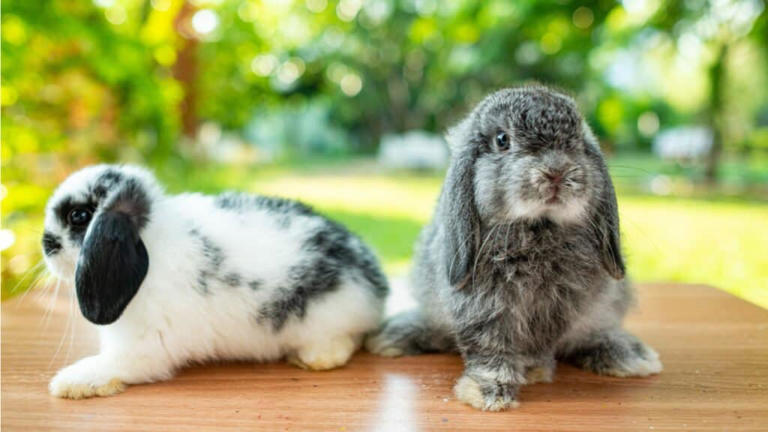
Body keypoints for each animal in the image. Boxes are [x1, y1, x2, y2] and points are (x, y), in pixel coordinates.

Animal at [41, 164, 388, 399]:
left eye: (79, 216)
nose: (46, 244)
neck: (152, 240)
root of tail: (377, 283)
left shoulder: (145, 349)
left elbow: (112, 365)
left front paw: (68, 382)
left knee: (346, 342)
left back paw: (312, 359)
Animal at [366, 86, 662, 411]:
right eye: (502, 139)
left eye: (577, 142)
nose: (557, 172)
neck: (537, 228)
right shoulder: (481, 308)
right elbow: (489, 347)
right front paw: (489, 394)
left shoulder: (559, 308)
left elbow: (539, 345)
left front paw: (532, 371)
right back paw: (393, 338)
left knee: (594, 335)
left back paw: (630, 356)